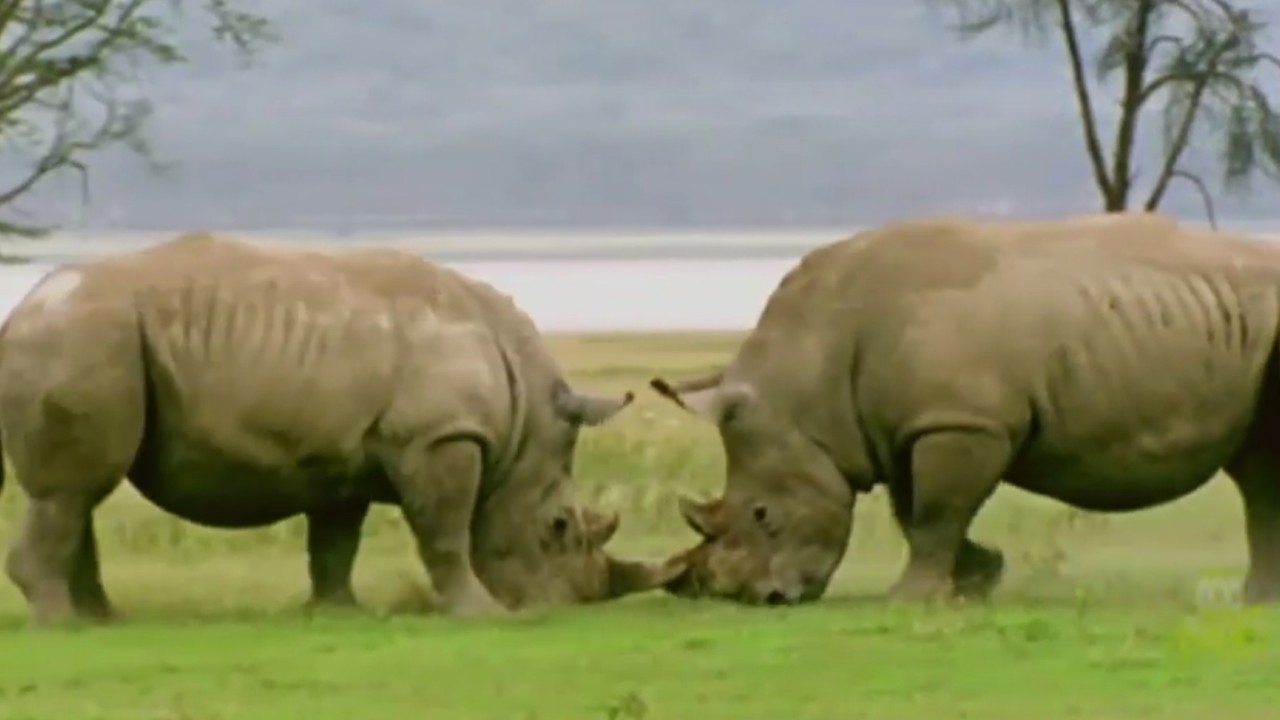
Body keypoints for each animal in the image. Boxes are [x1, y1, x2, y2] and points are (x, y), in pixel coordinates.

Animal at [0, 232, 677, 625]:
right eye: (559, 528)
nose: (567, 604)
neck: (526, 419)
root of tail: (21, 311)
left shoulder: (345, 455)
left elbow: (334, 541)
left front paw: (337, 613)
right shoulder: (441, 435)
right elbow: (447, 533)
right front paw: (482, 615)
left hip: (84, 339)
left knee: (78, 496)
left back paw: (103, 620)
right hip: (81, 337)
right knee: (70, 493)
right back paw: (64, 625)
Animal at [650, 212, 1280, 606]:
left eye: (763, 515)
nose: (760, 599)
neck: (807, 378)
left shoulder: (960, 419)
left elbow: (935, 512)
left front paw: (910, 600)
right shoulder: (910, 426)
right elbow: (914, 511)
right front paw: (979, 580)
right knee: (1258, 474)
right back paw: (1256, 606)